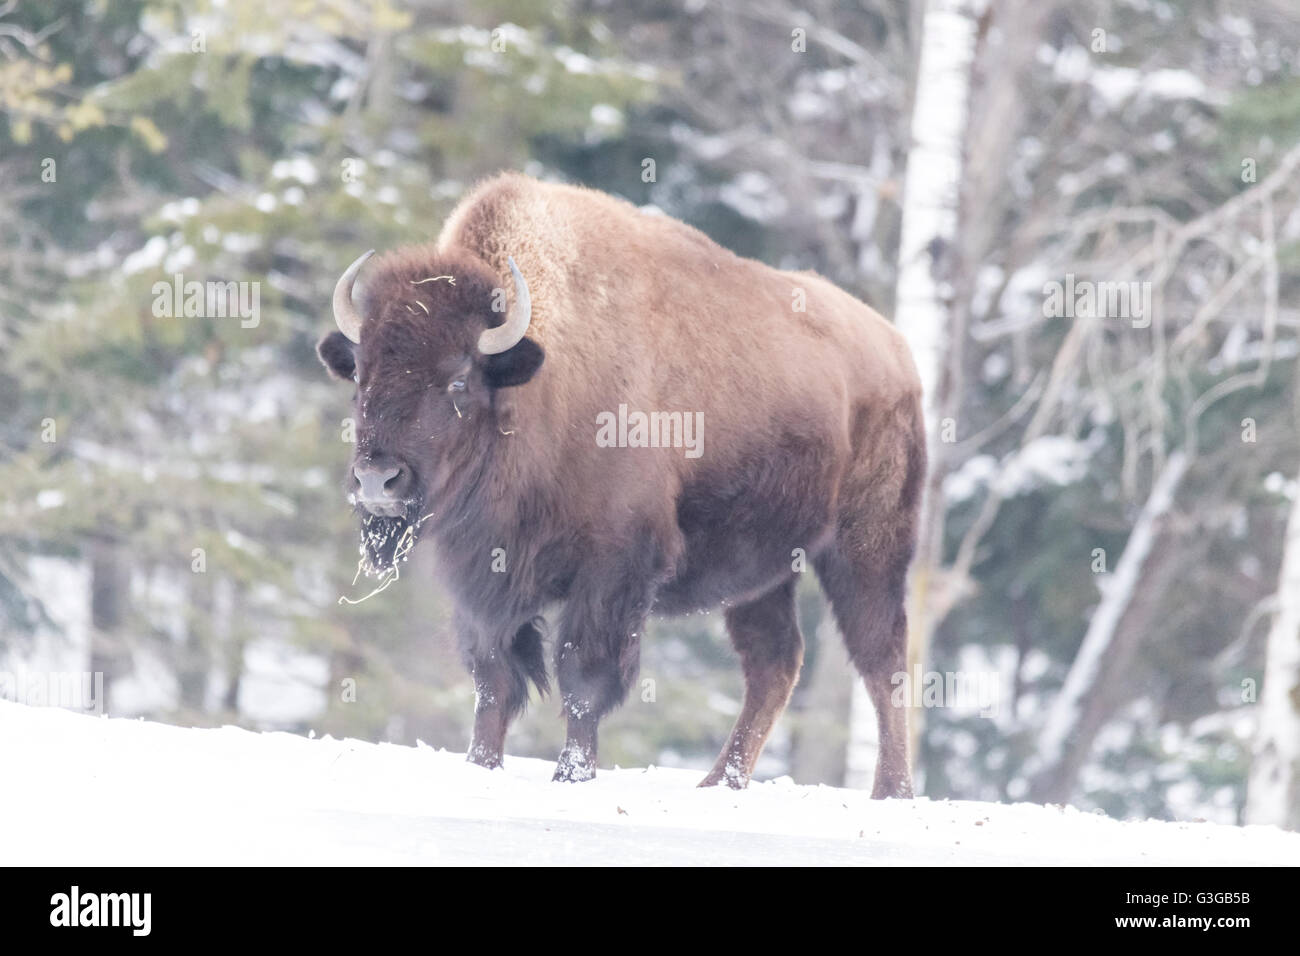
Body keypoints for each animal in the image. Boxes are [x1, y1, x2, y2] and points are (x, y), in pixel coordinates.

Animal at [317, 173, 925, 796]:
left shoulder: (613, 571)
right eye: (360, 374)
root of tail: (895, 350)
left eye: (459, 379)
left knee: (883, 658)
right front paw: (480, 766)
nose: (377, 478)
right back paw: (717, 784)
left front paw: (571, 776)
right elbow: (494, 681)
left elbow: (583, 677)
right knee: (775, 663)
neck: (541, 381)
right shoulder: (484, 582)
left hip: (867, 546)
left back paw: (890, 790)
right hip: (765, 573)